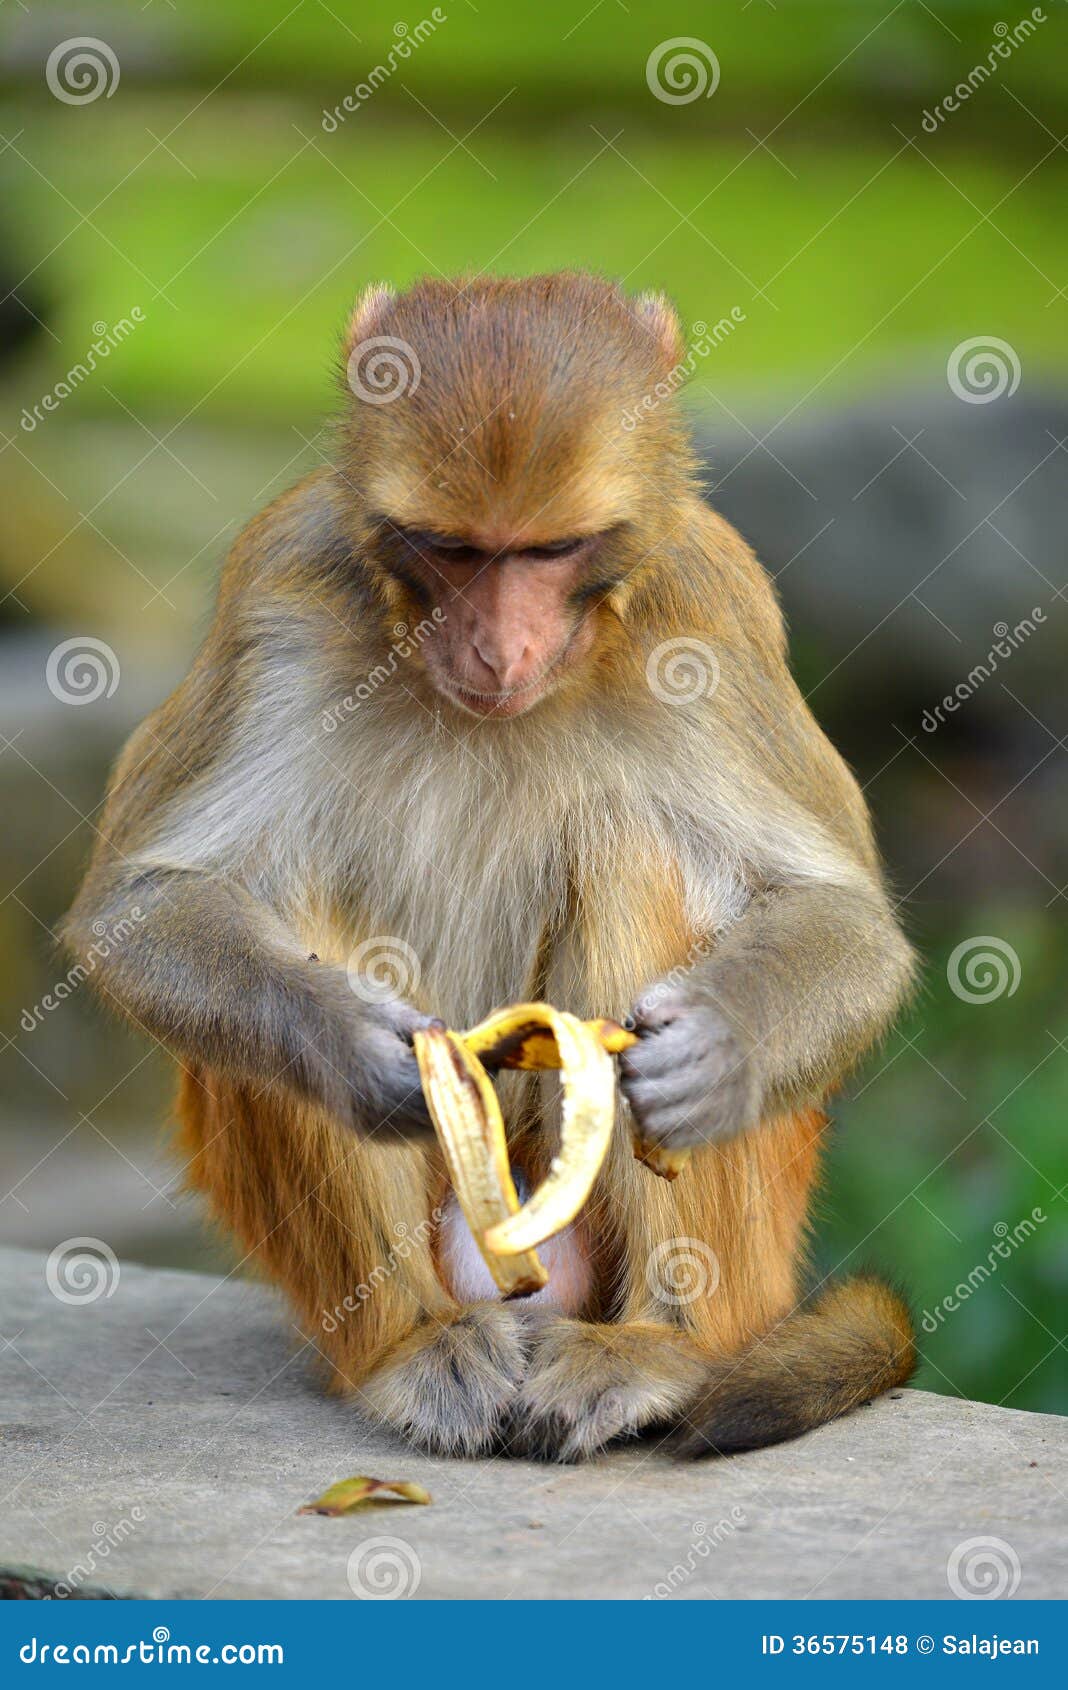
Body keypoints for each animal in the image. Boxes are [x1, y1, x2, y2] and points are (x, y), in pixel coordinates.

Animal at [64, 271, 917, 1463]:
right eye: (456, 550)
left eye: (551, 551)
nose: (499, 649)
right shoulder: (278, 587)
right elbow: (143, 908)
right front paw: (349, 1046)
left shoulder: (711, 604)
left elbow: (842, 919)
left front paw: (717, 1051)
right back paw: (416, 1343)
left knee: (635, 849)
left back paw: (654, 1345)